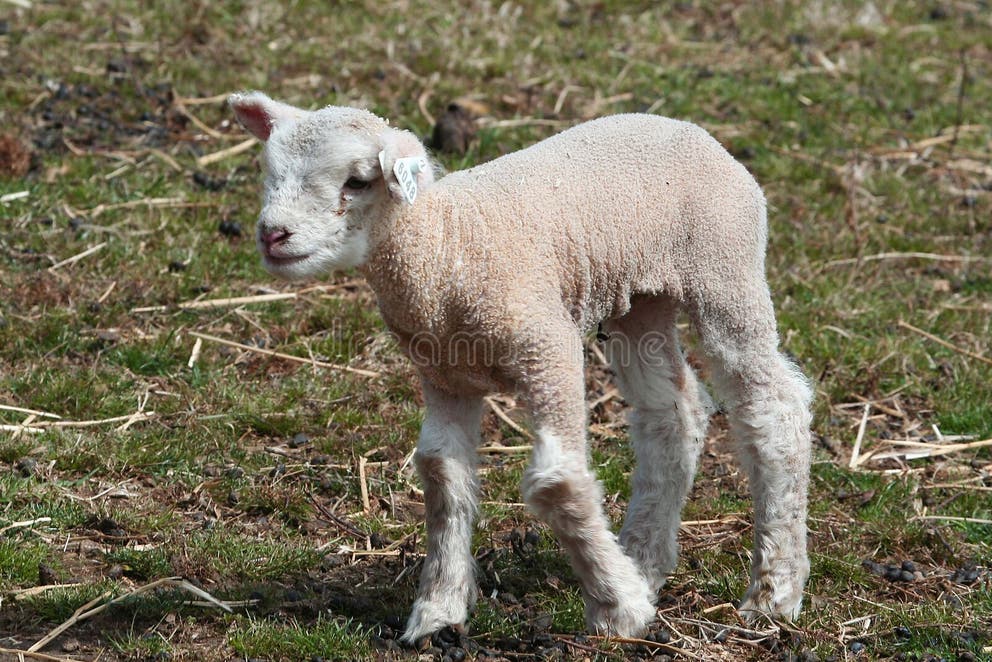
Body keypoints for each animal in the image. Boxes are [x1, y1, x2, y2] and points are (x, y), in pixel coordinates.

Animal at [228, 90, 814, 644]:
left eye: (356, 181)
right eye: (269, 172)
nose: (272, 234)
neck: (445, 246)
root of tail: (694, 131)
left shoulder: (547, 349)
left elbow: (557, 484)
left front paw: (617, 608)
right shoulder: (444, 376)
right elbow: (442, 477)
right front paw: (438, 611)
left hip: (723, 272)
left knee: (774, 407)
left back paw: (773, 590)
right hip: (640, 300)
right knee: (673, 411)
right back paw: (643, 562)